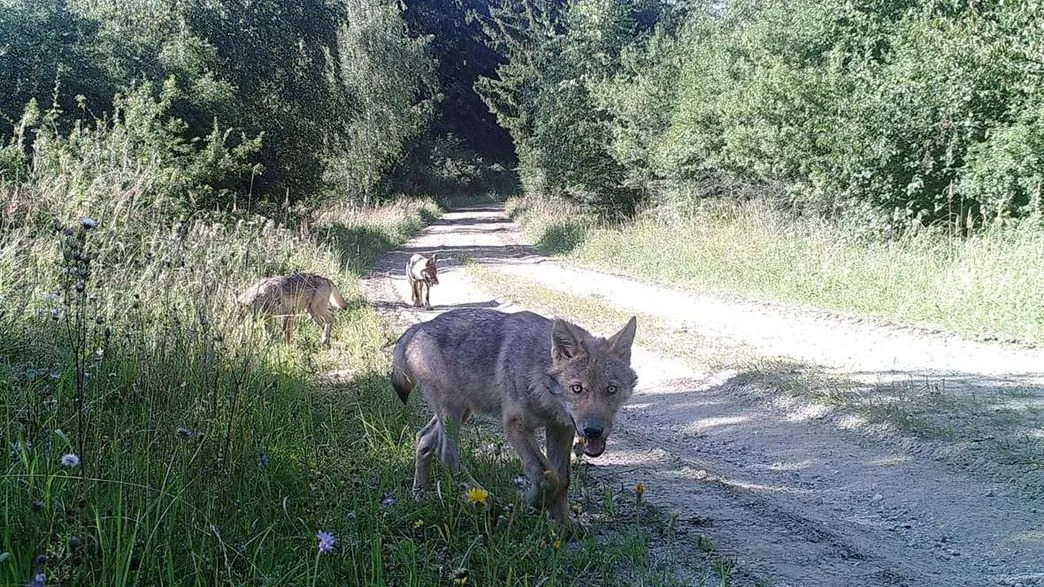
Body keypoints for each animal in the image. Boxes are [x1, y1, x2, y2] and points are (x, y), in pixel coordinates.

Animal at [391, 308, 638, 524]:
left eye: (611, 389)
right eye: (578, 389)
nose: (593, 431)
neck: (539, 381)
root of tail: (419, 326)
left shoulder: (562, 427)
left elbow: (563, 479)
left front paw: (564, 526)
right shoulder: (515, 425)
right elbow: (547, 476)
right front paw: (533, 501)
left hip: (461, 412)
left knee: (423, 438)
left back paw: (421, 493)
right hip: (453, 410)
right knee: (446, 453)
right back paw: (489, 501)